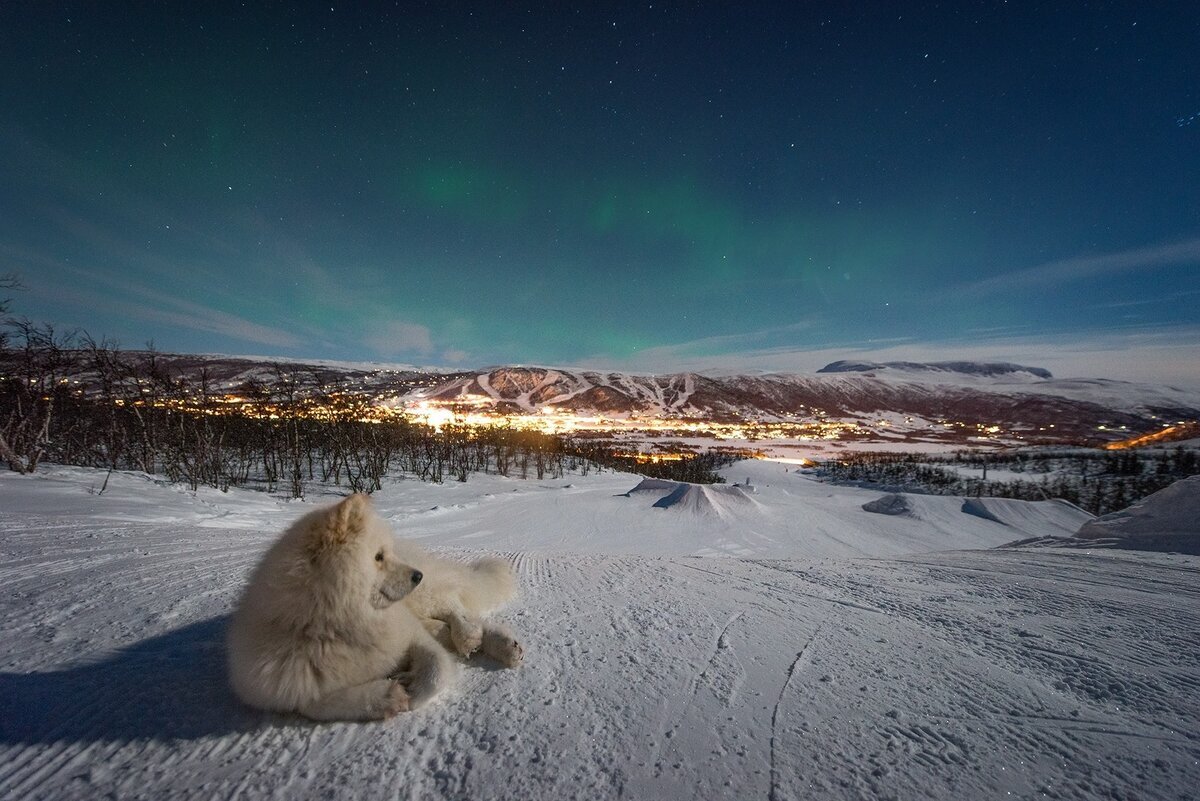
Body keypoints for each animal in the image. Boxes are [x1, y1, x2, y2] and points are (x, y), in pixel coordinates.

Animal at [226, 491, 523, 724]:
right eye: (378, 557)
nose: (417, 576)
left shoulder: (410, 634)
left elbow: (435, 671)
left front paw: (413, 686)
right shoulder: (281, 685)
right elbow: (320, 704)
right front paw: (386, 697)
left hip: (424, 598)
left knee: (455, 607)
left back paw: (472, 636)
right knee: (453, 623)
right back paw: (502, 645)